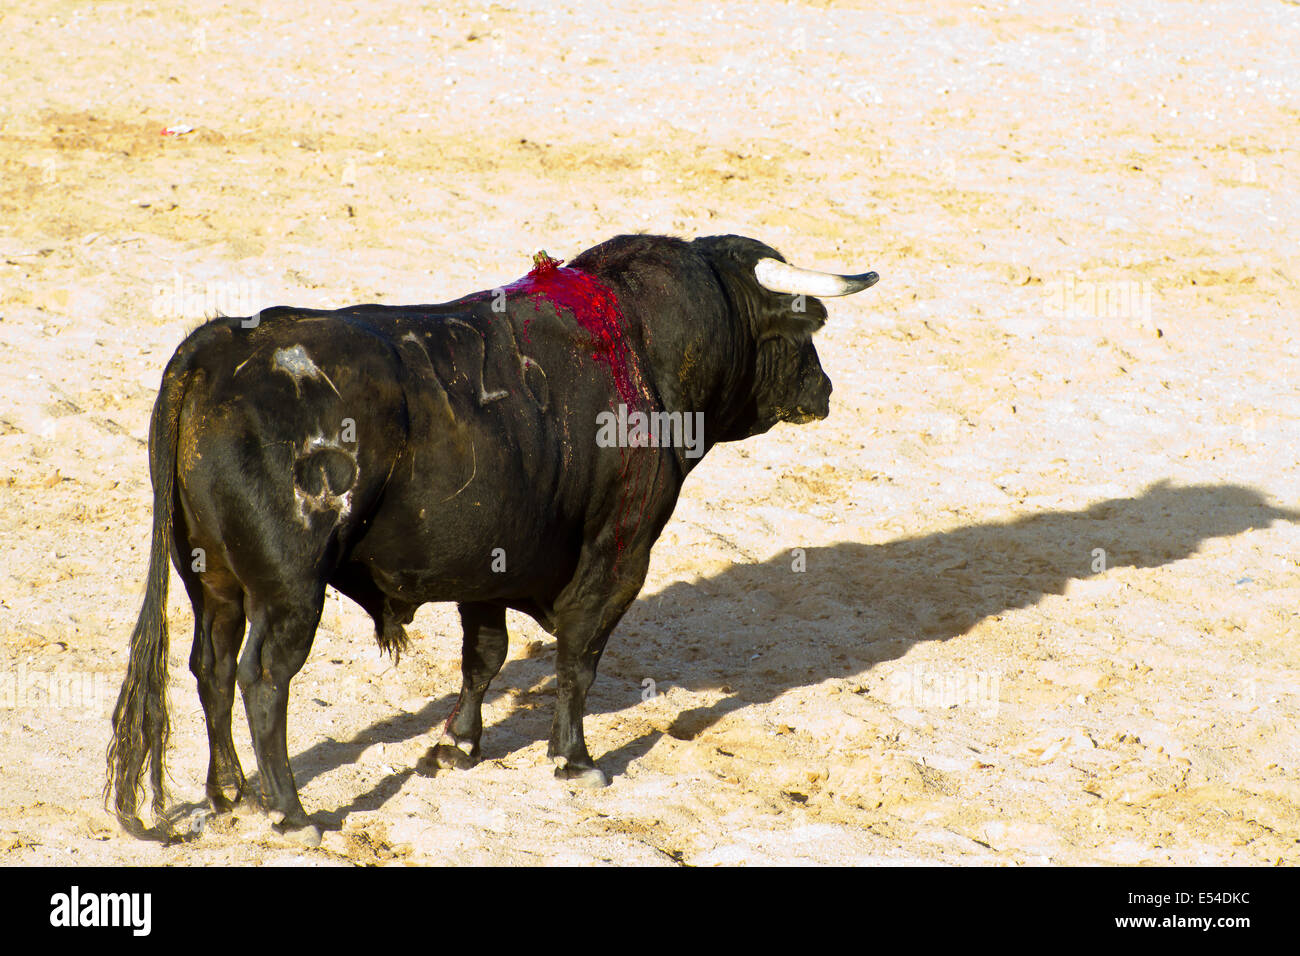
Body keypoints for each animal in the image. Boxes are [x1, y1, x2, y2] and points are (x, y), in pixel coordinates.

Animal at [106, 233, 878, 844]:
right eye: (804, 331)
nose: (824, 390)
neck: (646, 350)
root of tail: (216, 345)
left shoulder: (485, 562)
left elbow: (484, 656)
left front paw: (456, 745)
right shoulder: (617, 557)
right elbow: (578, 658)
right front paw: (574, 758)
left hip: (212, 580)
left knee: (210, 666)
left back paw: (227, 792)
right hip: (291, 591)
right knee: (263, 678)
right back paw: (290, 813)